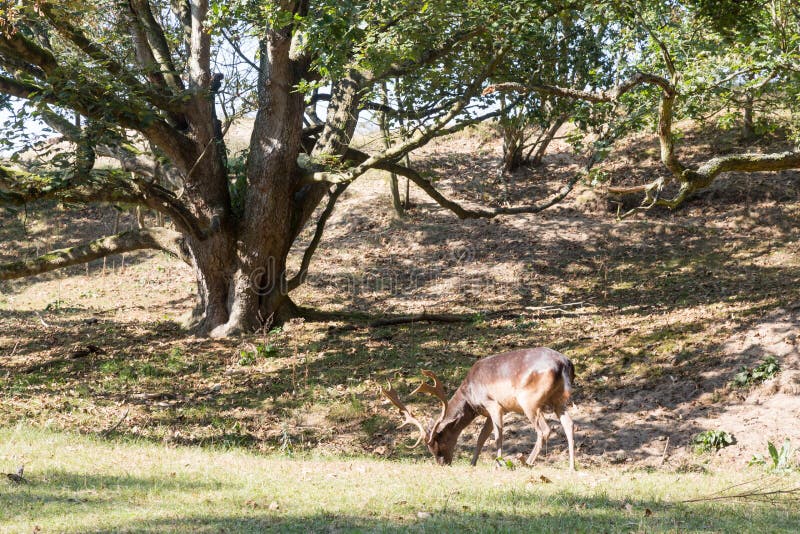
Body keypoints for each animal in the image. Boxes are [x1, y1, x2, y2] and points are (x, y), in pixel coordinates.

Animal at [380, 347, 576, 470]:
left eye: (440, 441)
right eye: (430, 449)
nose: (443, 463)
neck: (470, 398)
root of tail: (564, 363)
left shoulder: (494, 404)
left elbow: (497, 437)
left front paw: (497, 464)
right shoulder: (488, 412)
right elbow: (481, 437)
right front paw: (472, 463)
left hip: (529, 401)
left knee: (544, 429)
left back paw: (527, 462)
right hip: (558, 400)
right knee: (569, 424)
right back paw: (572, 467)